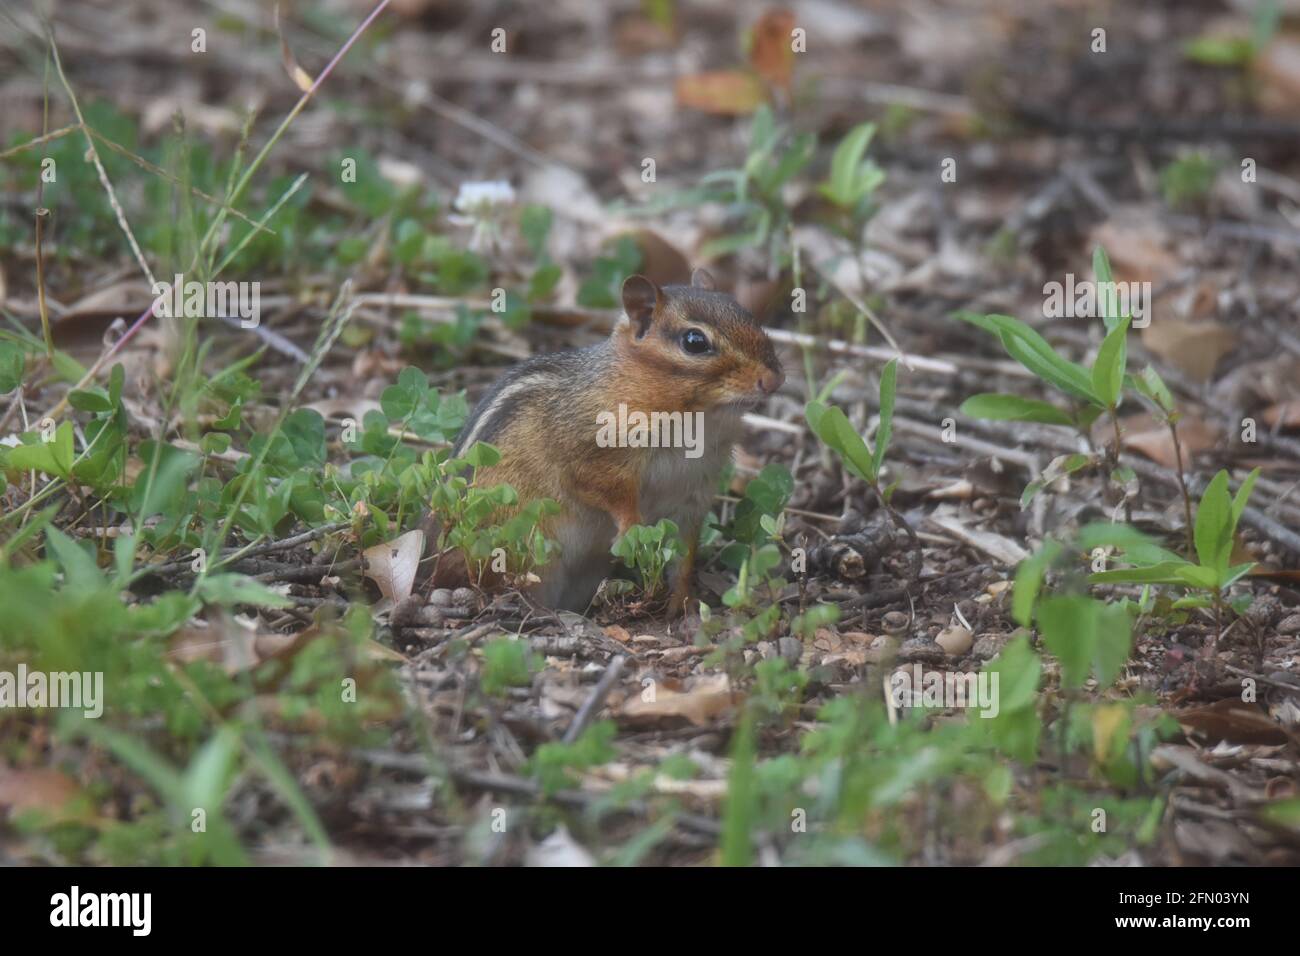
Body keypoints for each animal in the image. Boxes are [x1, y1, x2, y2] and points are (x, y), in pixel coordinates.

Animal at [431, 268, 784, 615]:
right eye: (695, 341)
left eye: (746, 313)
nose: (773, 379)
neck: (700, 420)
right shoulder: (591, 454)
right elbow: (605, 489)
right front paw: (631, 528)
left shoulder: (693, 495)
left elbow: (683, 557)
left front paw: (681, 605)